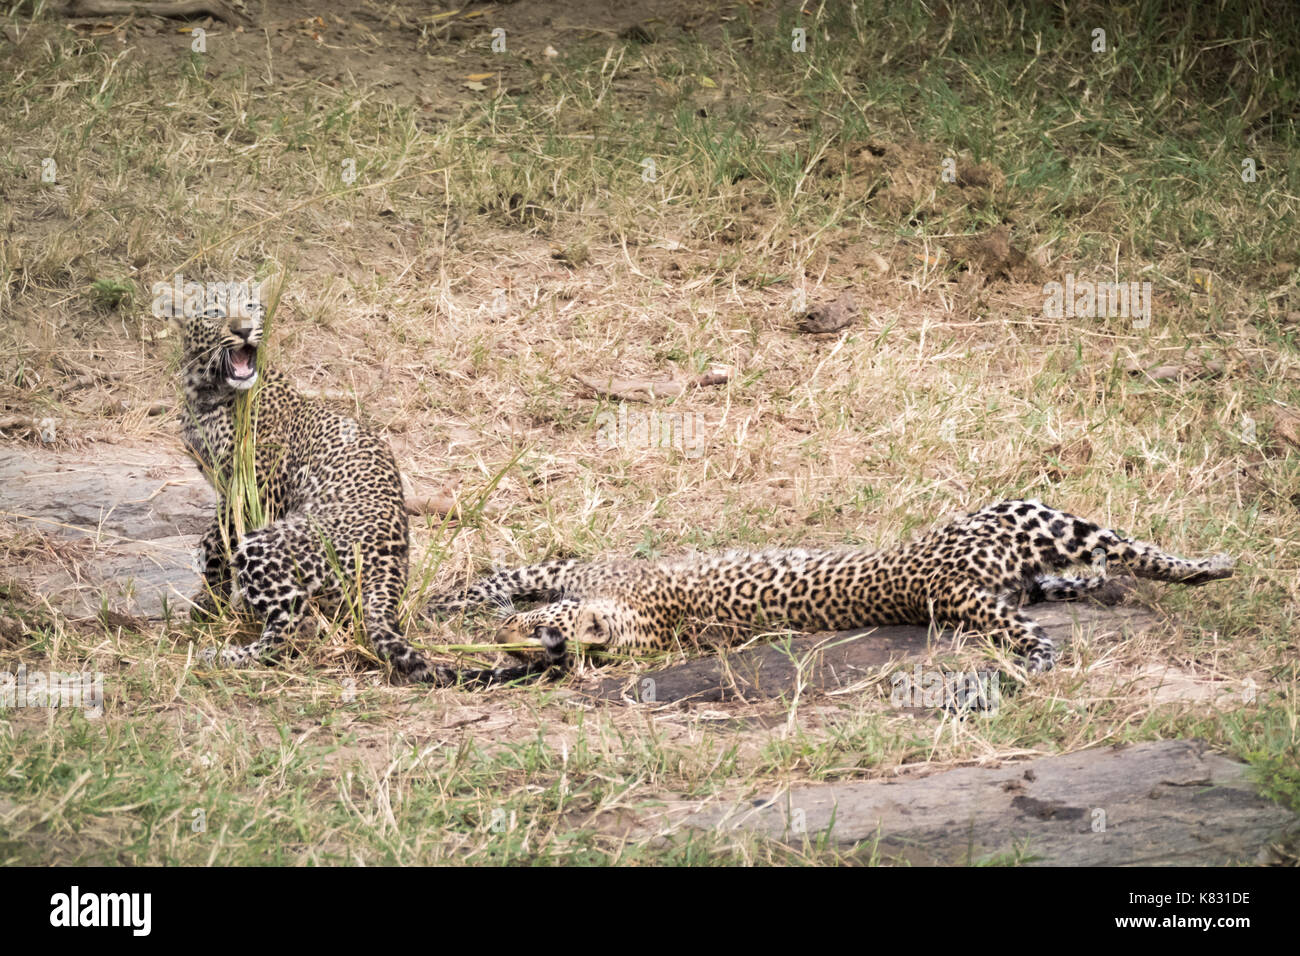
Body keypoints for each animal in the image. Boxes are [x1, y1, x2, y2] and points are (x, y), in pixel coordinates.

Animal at [173, 290, 453, 684]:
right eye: (214, 312)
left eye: (250, 306)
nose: (242, 330)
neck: (206, 390)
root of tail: (391, 565)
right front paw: (208, 603)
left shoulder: (259, 489)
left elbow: (215, 537)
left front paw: (208, 601)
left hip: (270, 543)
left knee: (297, 627)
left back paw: (225, 657)